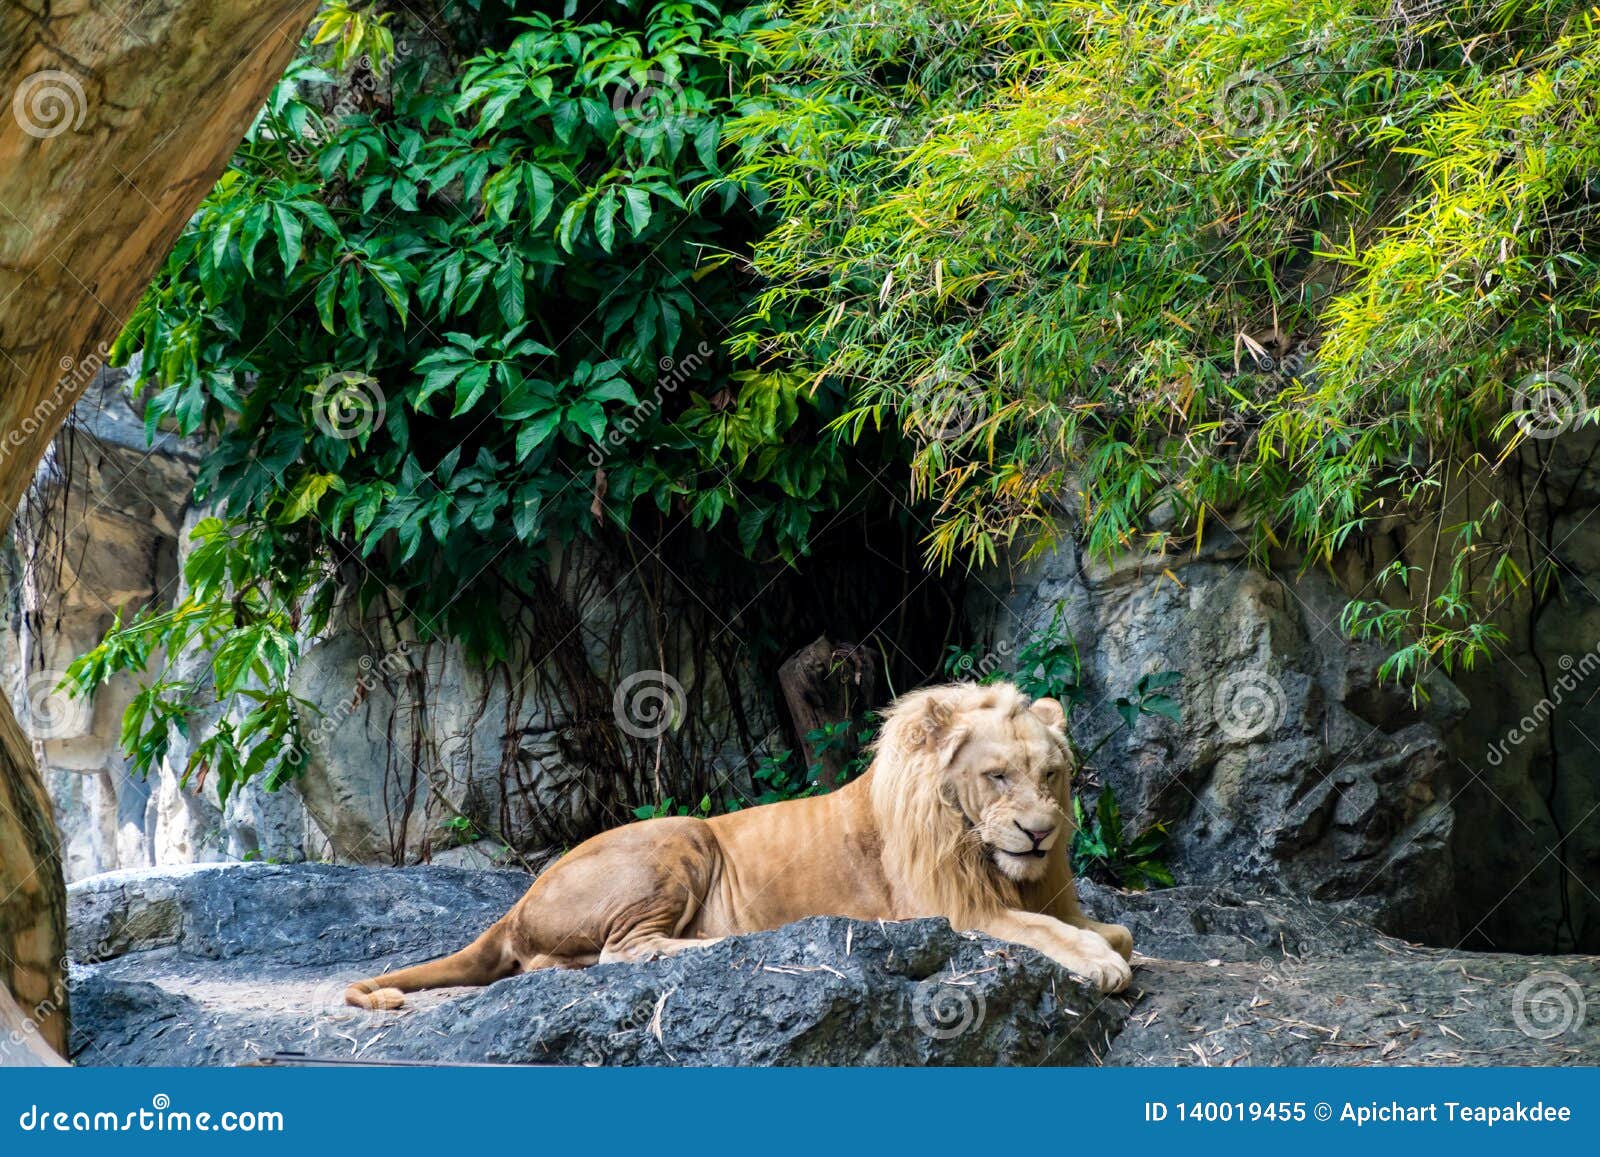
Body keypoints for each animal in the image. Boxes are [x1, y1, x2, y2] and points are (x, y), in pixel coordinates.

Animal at [345, 681, 1134, 1010]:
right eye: (996, 775)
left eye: (1050, 774)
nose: (1040, 831)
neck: (988, 853)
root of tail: (514, 905)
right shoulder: (951, 909)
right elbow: (1043, 931)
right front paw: (1099, 963)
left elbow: (1110, 927)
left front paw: (1106, 942)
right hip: (683, 836)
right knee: (622, 951)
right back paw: (723, 943)